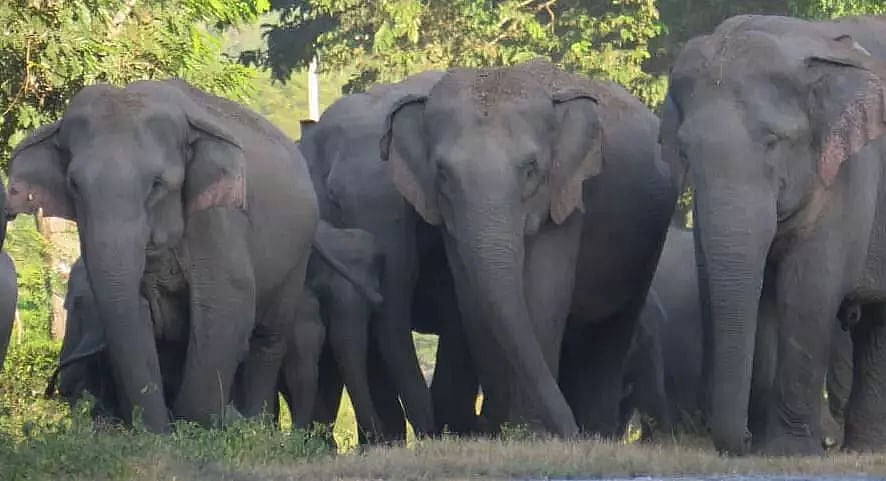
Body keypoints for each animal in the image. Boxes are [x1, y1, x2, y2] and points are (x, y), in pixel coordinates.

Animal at [7, 79, 320, 433]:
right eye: (74, 184)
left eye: (157, 183)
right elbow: (132, 310)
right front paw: (156, 433)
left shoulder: (217, 218)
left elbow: (225, 303)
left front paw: (196, 427)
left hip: (297, 256)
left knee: (268, 336)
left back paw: (256, 426)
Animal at [382, 59, 676, 436]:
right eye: (443, 174)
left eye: (531, 169)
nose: (570, 433)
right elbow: (474, 301)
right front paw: (503, 432)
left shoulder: (566, 199)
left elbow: (543, 294)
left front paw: (532, 432)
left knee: (612, 333)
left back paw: (596, 431)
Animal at [660, 14, 886, 454]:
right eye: (684, 150)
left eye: (772, 142)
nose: (743, 439)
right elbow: (751, 292)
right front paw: (767, 445)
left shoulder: (848, 176)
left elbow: (806, 290)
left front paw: (790, 451)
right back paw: (864, 448)